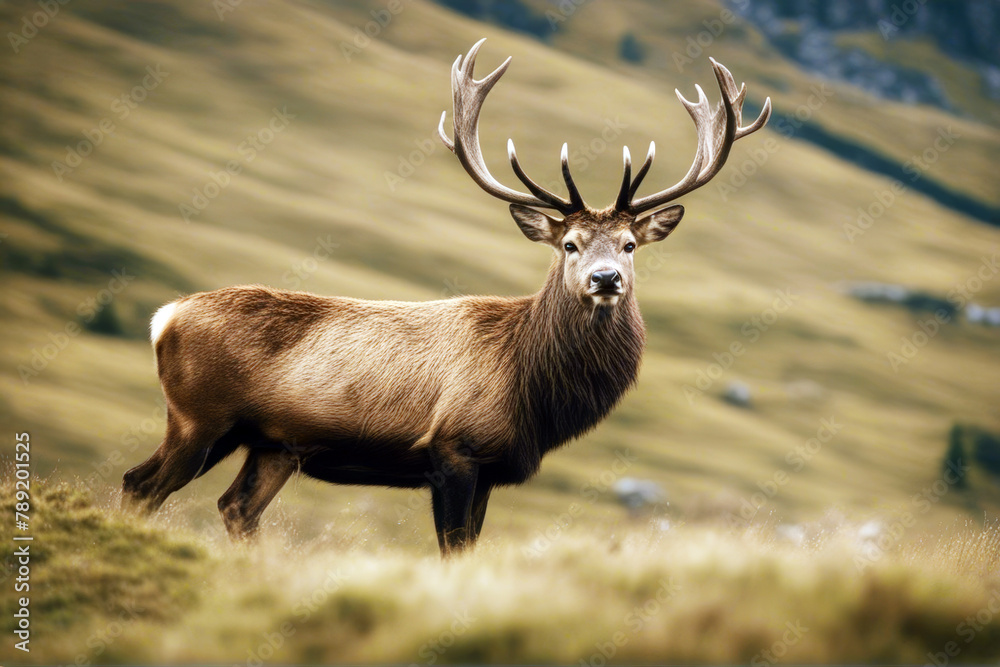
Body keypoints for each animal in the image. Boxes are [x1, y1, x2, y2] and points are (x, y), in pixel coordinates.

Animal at [122, 39, 770, 556]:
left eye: (631, 244)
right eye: (570, 244)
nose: (605, 279)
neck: (532, 391)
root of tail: (163, 317)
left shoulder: (490, 469)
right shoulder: (454, 450)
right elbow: (453, 548)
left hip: (273, 444)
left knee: (234, 507)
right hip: (199, 416)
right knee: (141, 484)